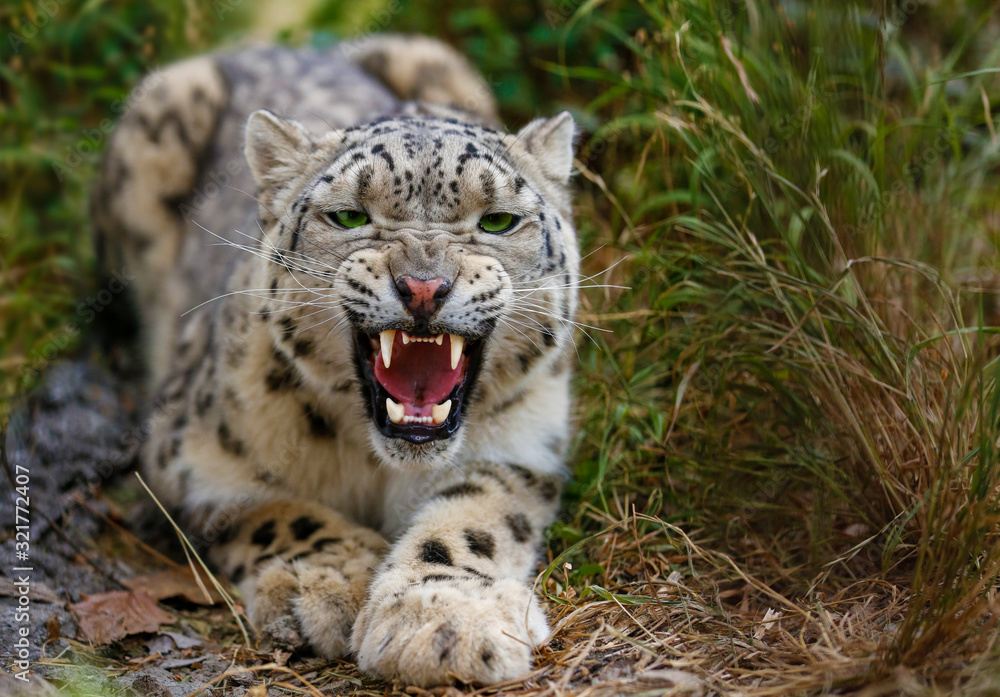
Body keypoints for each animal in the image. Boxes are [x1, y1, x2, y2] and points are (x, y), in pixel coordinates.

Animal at [91, 34, 579, 687]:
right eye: (349, 215)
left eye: (498, 220)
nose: (424, 286)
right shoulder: (189, 458)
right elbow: (277, 509)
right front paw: (325, 584)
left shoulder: (524, 446)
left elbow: (473, 517)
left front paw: (442, 621)